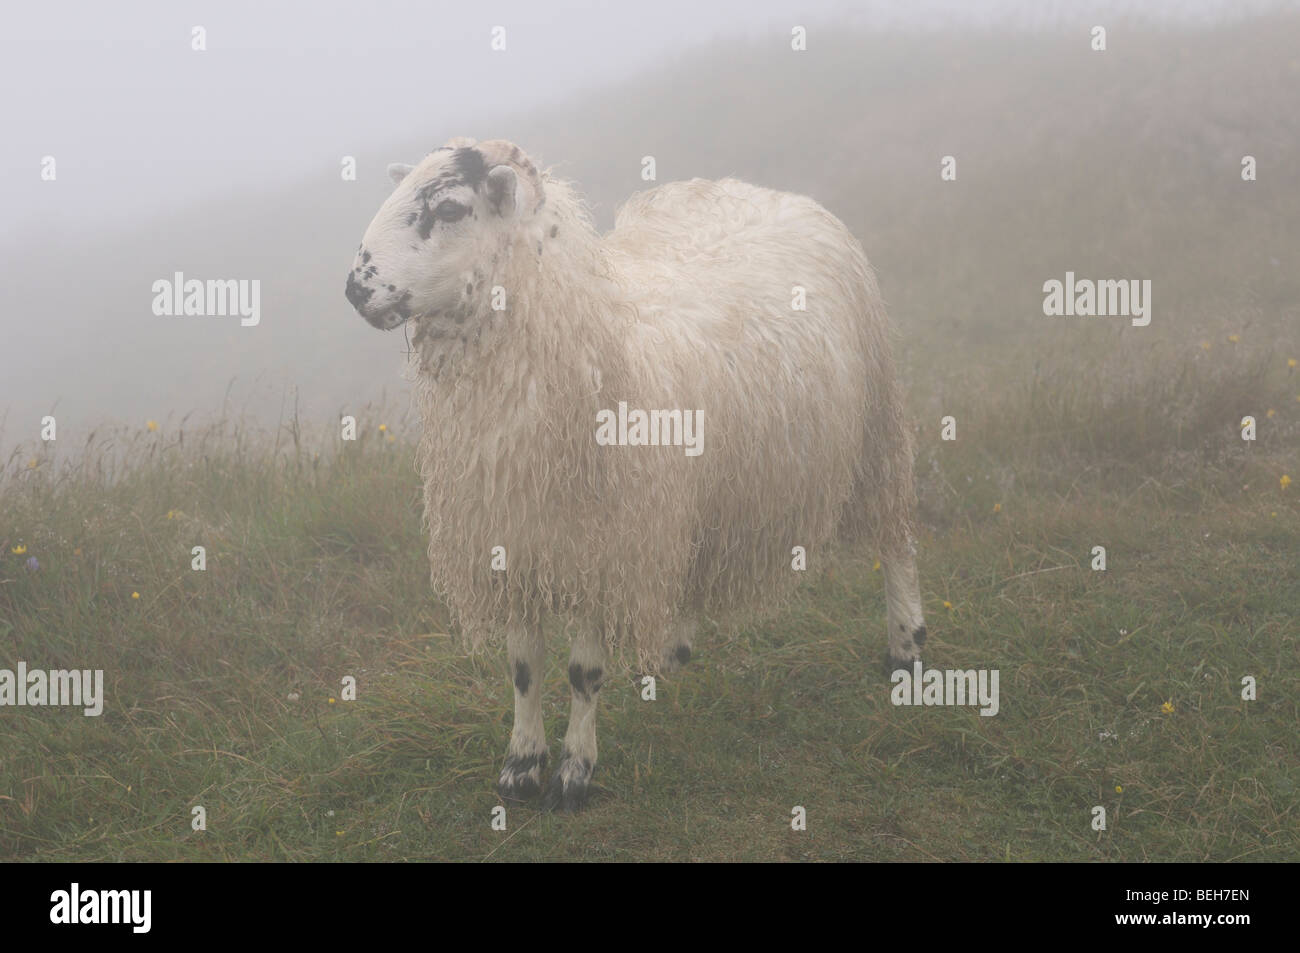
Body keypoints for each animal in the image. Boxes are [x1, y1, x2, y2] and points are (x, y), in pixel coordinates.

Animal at [344, 137, 927, 811]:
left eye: (448, 208)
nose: (354, 289)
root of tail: (763, 191)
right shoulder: (514, 538)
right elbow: (522, 667)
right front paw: (520, 765)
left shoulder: (609, 545)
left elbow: (582, 673)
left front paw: (573, 773)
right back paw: (673, 649)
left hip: (875, 425)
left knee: (896, 538)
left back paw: (906, 646)